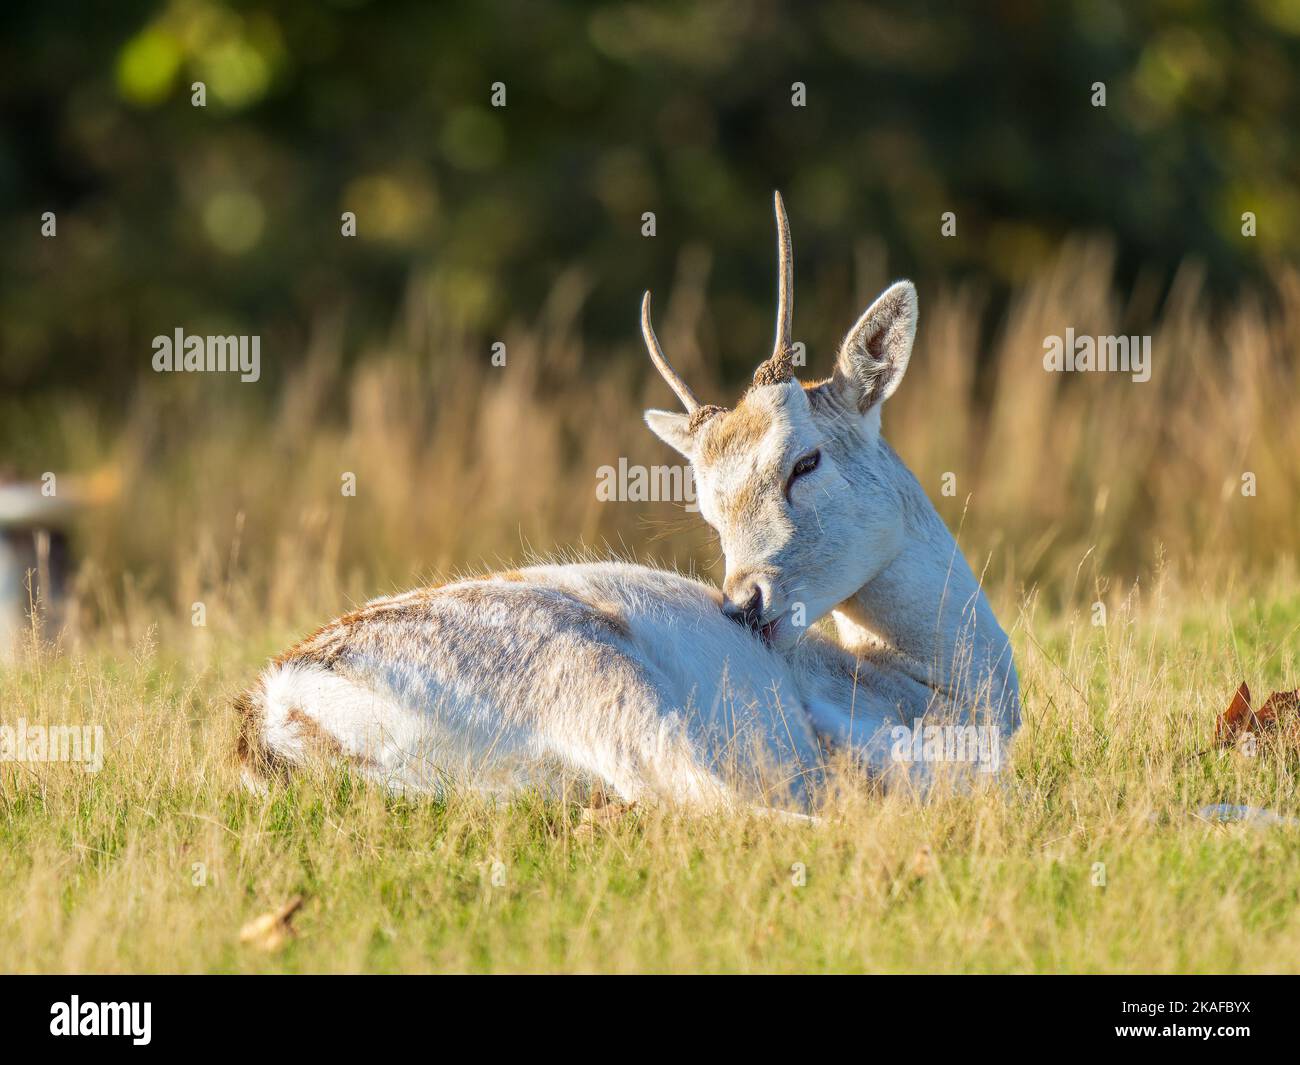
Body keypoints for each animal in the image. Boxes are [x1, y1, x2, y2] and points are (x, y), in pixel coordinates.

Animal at [235, 193, 1020, 814]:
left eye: (806, 460)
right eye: (709, 509)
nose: (743, 605)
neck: (936, 688)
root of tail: (276, 706)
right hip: (593, 677)